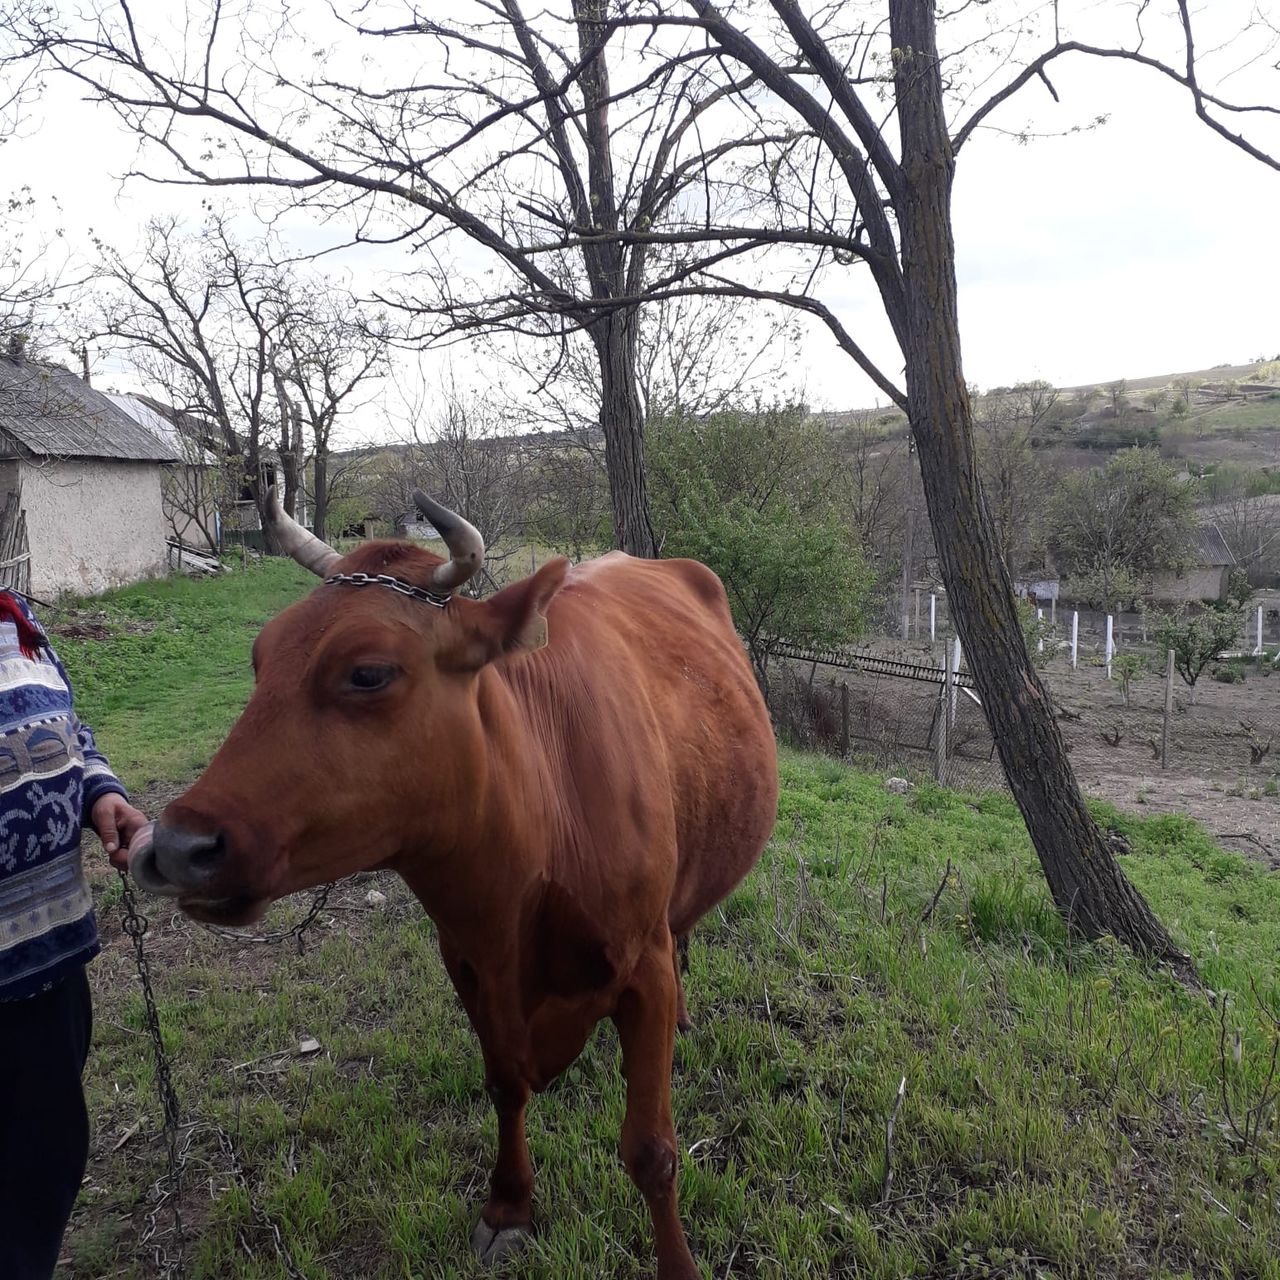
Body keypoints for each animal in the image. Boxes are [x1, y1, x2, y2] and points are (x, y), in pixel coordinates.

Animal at [128, 490, 779, 1279]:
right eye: (260, 657)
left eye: (368, 672)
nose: (175, 847)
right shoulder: (467, 961)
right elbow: (505, 1085)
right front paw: (508, 1205)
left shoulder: (641, 965)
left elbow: (651, 1151)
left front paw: (677, 1264)